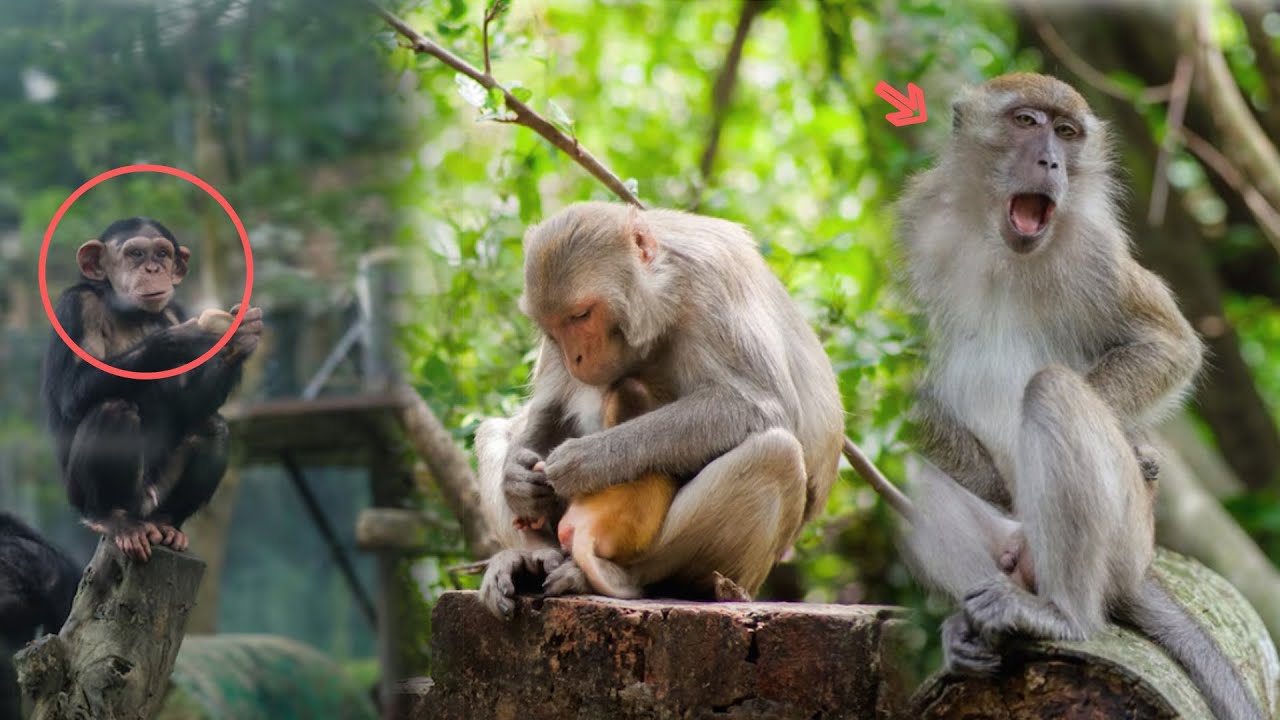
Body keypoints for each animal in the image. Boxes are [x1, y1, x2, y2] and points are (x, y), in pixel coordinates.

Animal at [42, 217, 263, 562]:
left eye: (161, 253)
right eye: (135, 254)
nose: (152, 268)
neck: (130, 312)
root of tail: (144, 512)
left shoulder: (175, 310)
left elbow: (190, 405)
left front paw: (240, 340)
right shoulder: (75, 309)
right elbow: (72, 391)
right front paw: (184, 336)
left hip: (159, 494)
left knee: (212, 426)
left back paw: (168, 524)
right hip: (89, 498)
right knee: (114, 410)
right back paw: (114, 519)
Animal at [476, 202, 845, 619]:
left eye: (582, 315)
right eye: (551, 326)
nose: (575, 358)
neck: (664, 297)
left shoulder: (712, 282)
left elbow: (761, 403)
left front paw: (586, 460)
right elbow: (550, 406)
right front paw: (517, 480)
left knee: (776, 455)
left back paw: (616, 578)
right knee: (493, 430)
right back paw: (530, 558)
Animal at [895, 73, 1264, 720]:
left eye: (1067, 133)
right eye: (1025, 122)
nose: (1050, 160)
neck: (998, 241)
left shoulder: (1096, 250)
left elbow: (1168, 345)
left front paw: (1142, 448)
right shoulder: (916, 227)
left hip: (1122, 540)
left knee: (1052, 390)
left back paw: (1064, 615)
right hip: (1009, 545)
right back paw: (970, 622)